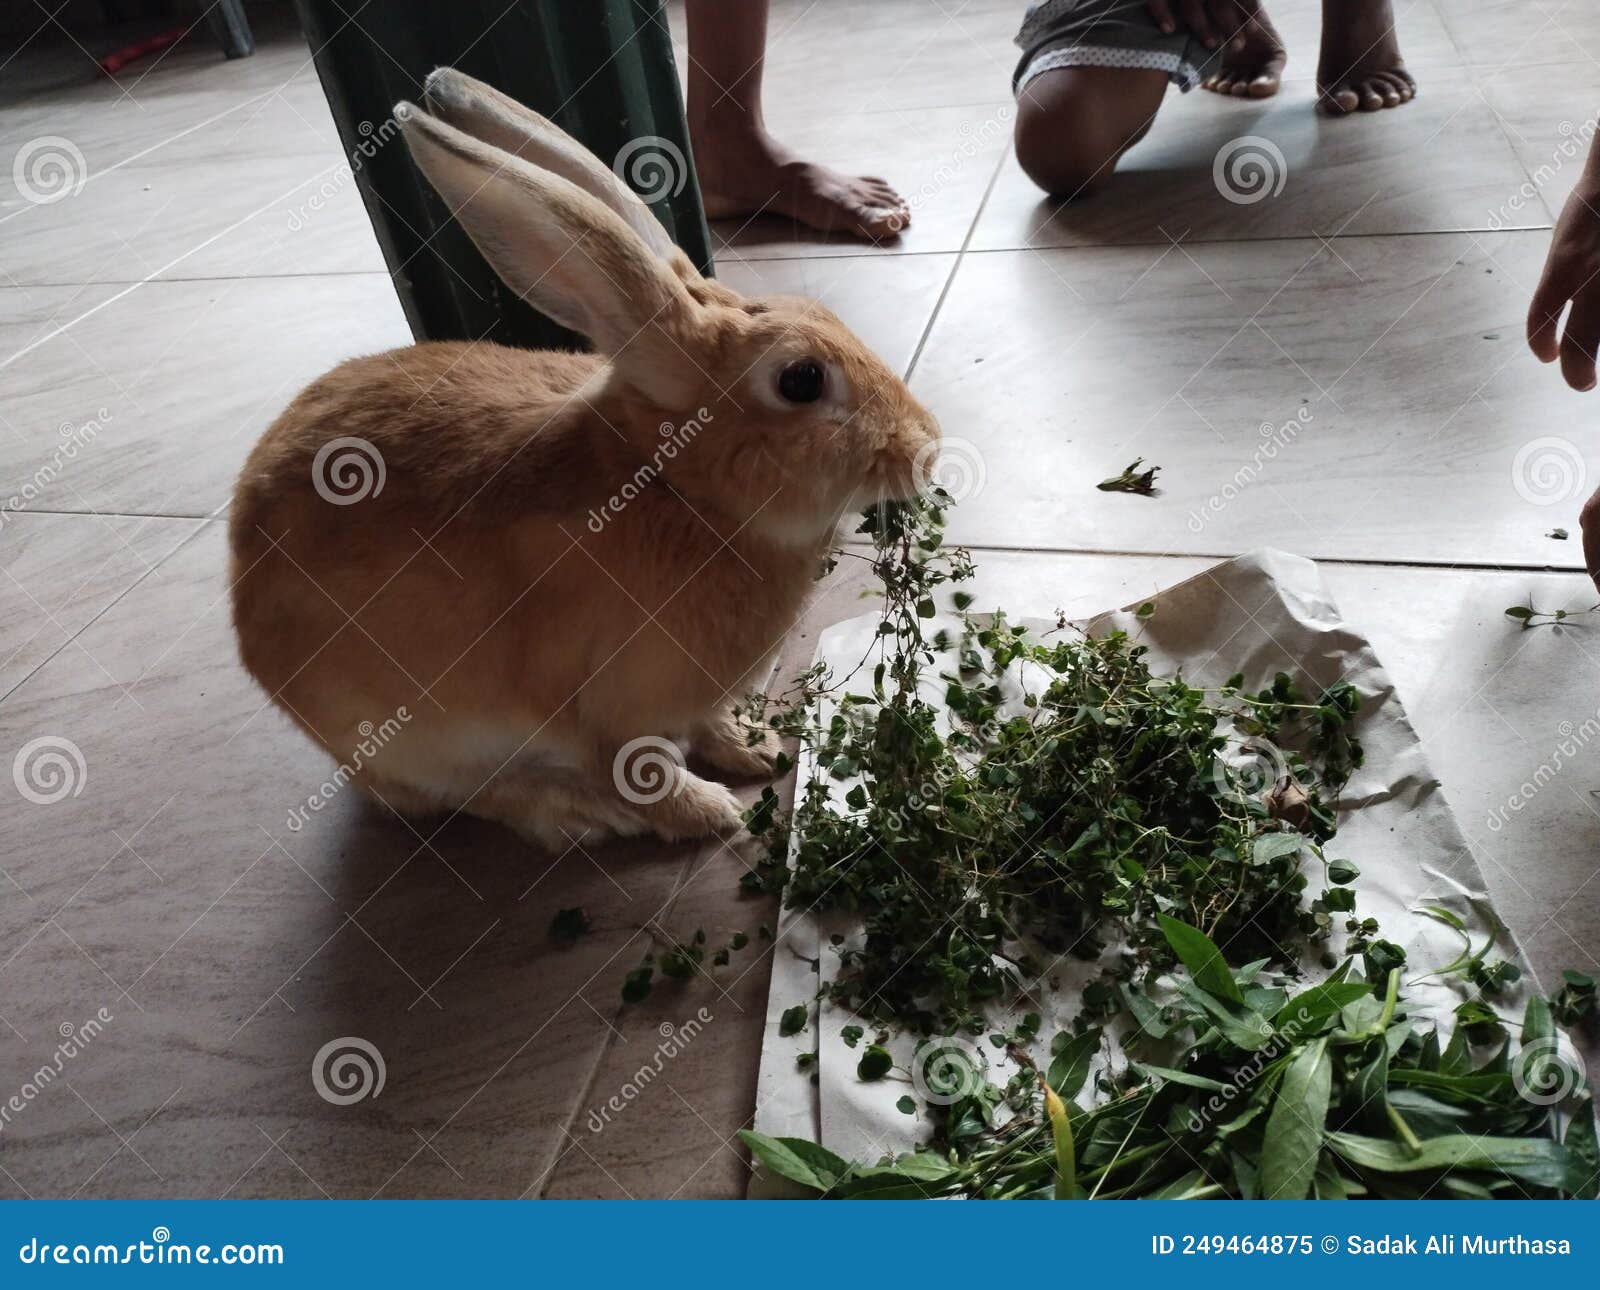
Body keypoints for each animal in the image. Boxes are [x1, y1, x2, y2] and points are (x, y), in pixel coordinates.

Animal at [229, 67, 941, 851]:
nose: (926, 446)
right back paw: (575, 812)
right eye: (803, 380)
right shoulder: (605, 710)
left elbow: (708, 723)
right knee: (469, 794)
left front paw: (752, 748)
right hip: (419, 740)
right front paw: (710, 813)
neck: (683, 494)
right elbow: (642, 769)